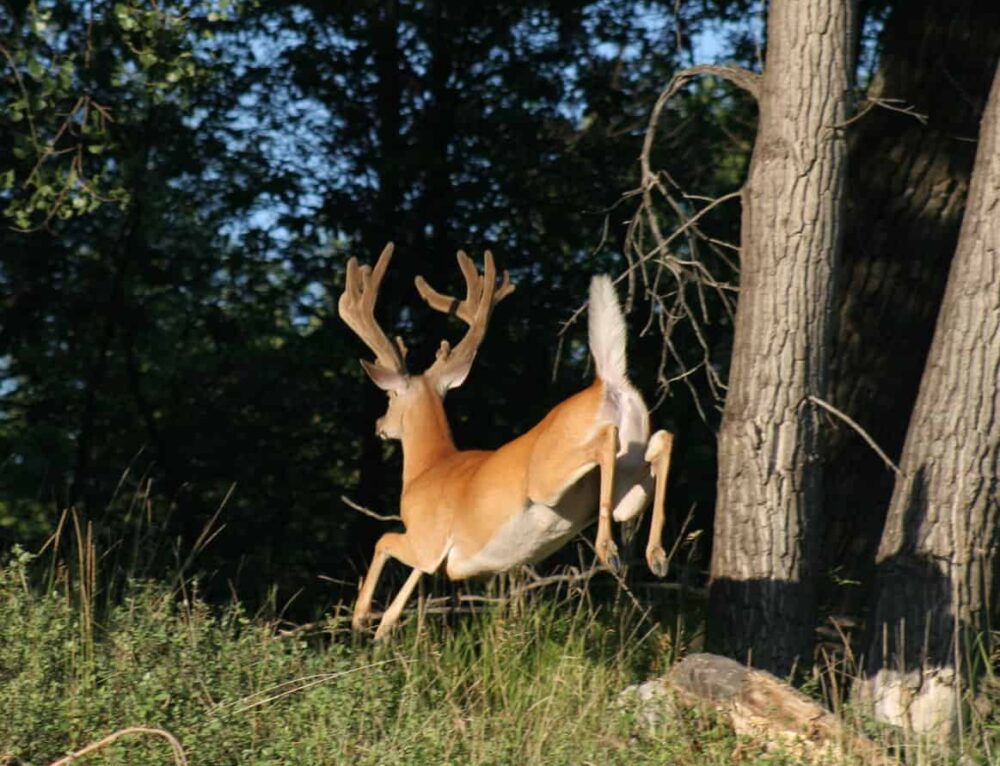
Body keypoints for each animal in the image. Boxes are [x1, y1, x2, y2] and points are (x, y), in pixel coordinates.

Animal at [339, 243, 674, 639]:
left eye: (389, 397)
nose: (379, 425)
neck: (427, 468)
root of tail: (607, 382)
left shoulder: (425, 535)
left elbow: (384, 541)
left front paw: (361, 617)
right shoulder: (436, 555)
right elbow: (408, 586)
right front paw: (382, 629)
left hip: (549, 476)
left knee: (607, 439)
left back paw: (609, 550)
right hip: (628, 488)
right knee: (663, 441)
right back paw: (656, 555)